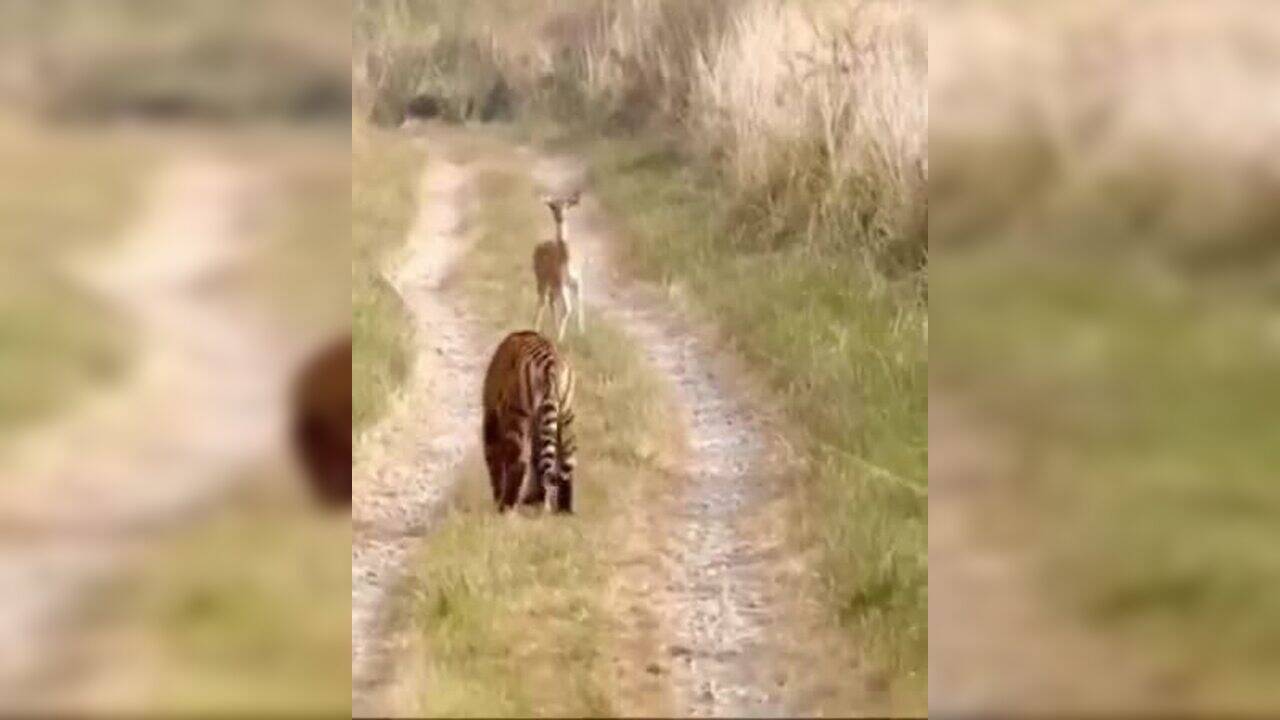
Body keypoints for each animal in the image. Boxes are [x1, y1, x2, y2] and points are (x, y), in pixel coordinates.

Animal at [481, 330, 577, 514]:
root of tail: (551, 363)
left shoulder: (492, 418)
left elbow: (495, 461)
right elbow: (537, 460)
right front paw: (536, 498)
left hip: (517, 418)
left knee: (519, 464)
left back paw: (506, 506)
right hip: (566, 417)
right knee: (568, 462)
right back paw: (564, 510)